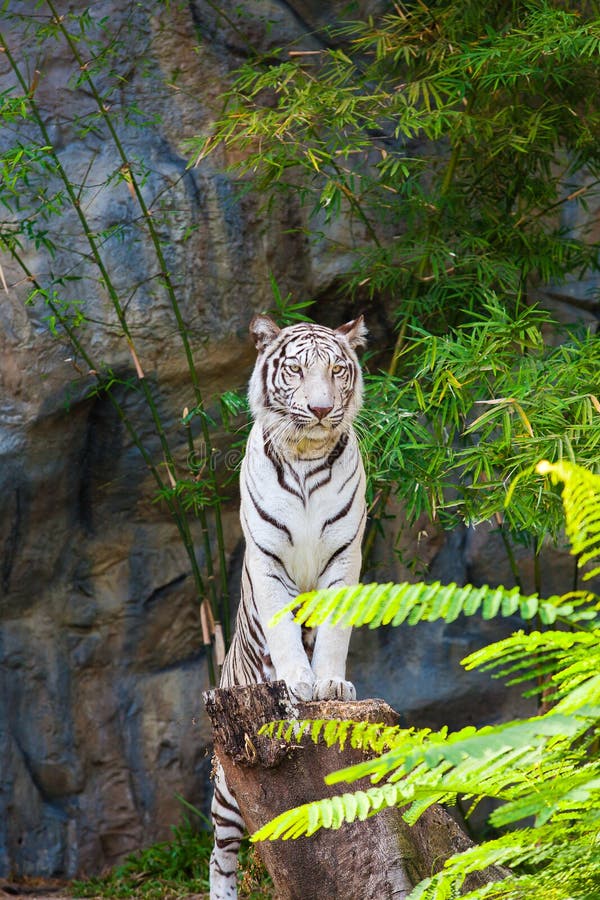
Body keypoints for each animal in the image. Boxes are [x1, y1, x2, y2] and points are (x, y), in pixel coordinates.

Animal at [209, 314, 367, 900]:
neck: (305, 454)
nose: (320, 409)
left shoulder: (345, 554)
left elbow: (335, 631)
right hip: (226, 786)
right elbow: (281, 628)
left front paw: (331, 685)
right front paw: (299, 683)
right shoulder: (266, 557)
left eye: (337, 370)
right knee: (223, 853)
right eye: (296, 370)